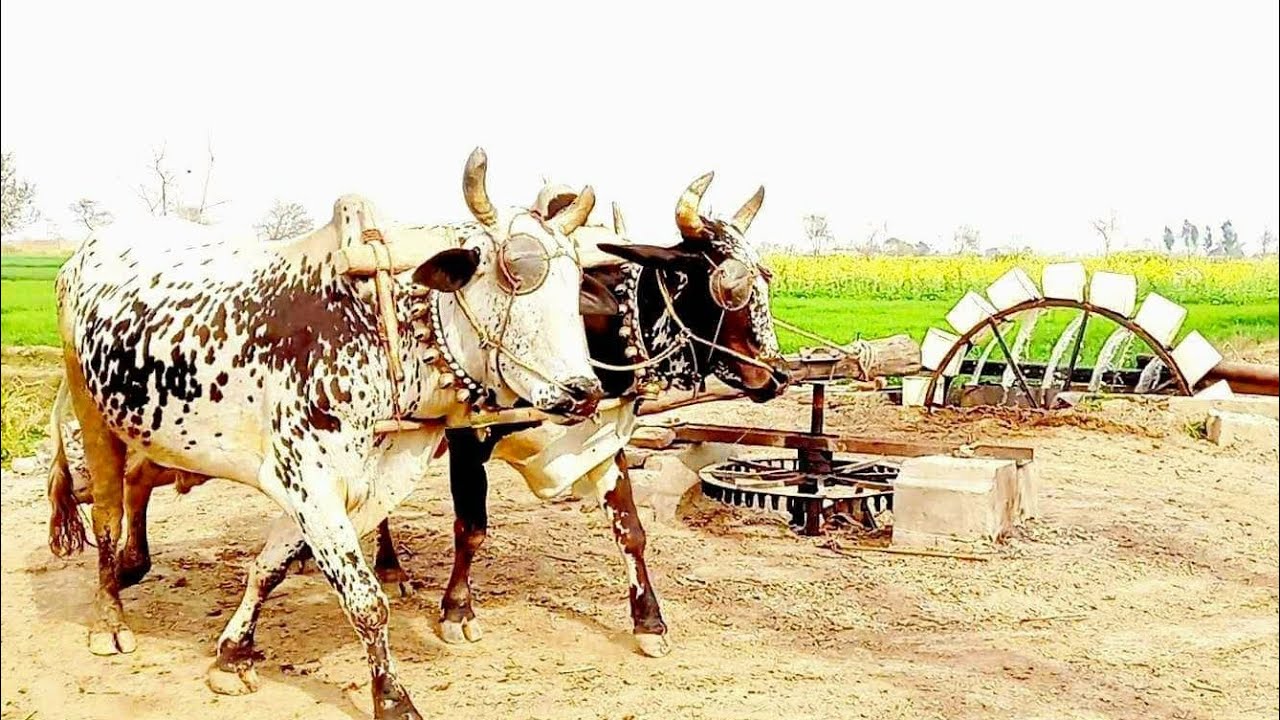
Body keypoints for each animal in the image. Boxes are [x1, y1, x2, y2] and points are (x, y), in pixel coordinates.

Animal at [48, 148, 612, 720]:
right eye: (511, 274)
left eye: (576, 286)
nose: (583, 391)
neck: (383, 327)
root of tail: (83, 253)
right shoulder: (308, 481)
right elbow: (365, 601)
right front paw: (392, 698)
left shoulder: (358, 483)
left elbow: (269, 566)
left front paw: (233, 654)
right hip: (91, 414)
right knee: (105, 514)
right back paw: (109, 616)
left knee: (137, 483)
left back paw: (132, 568)